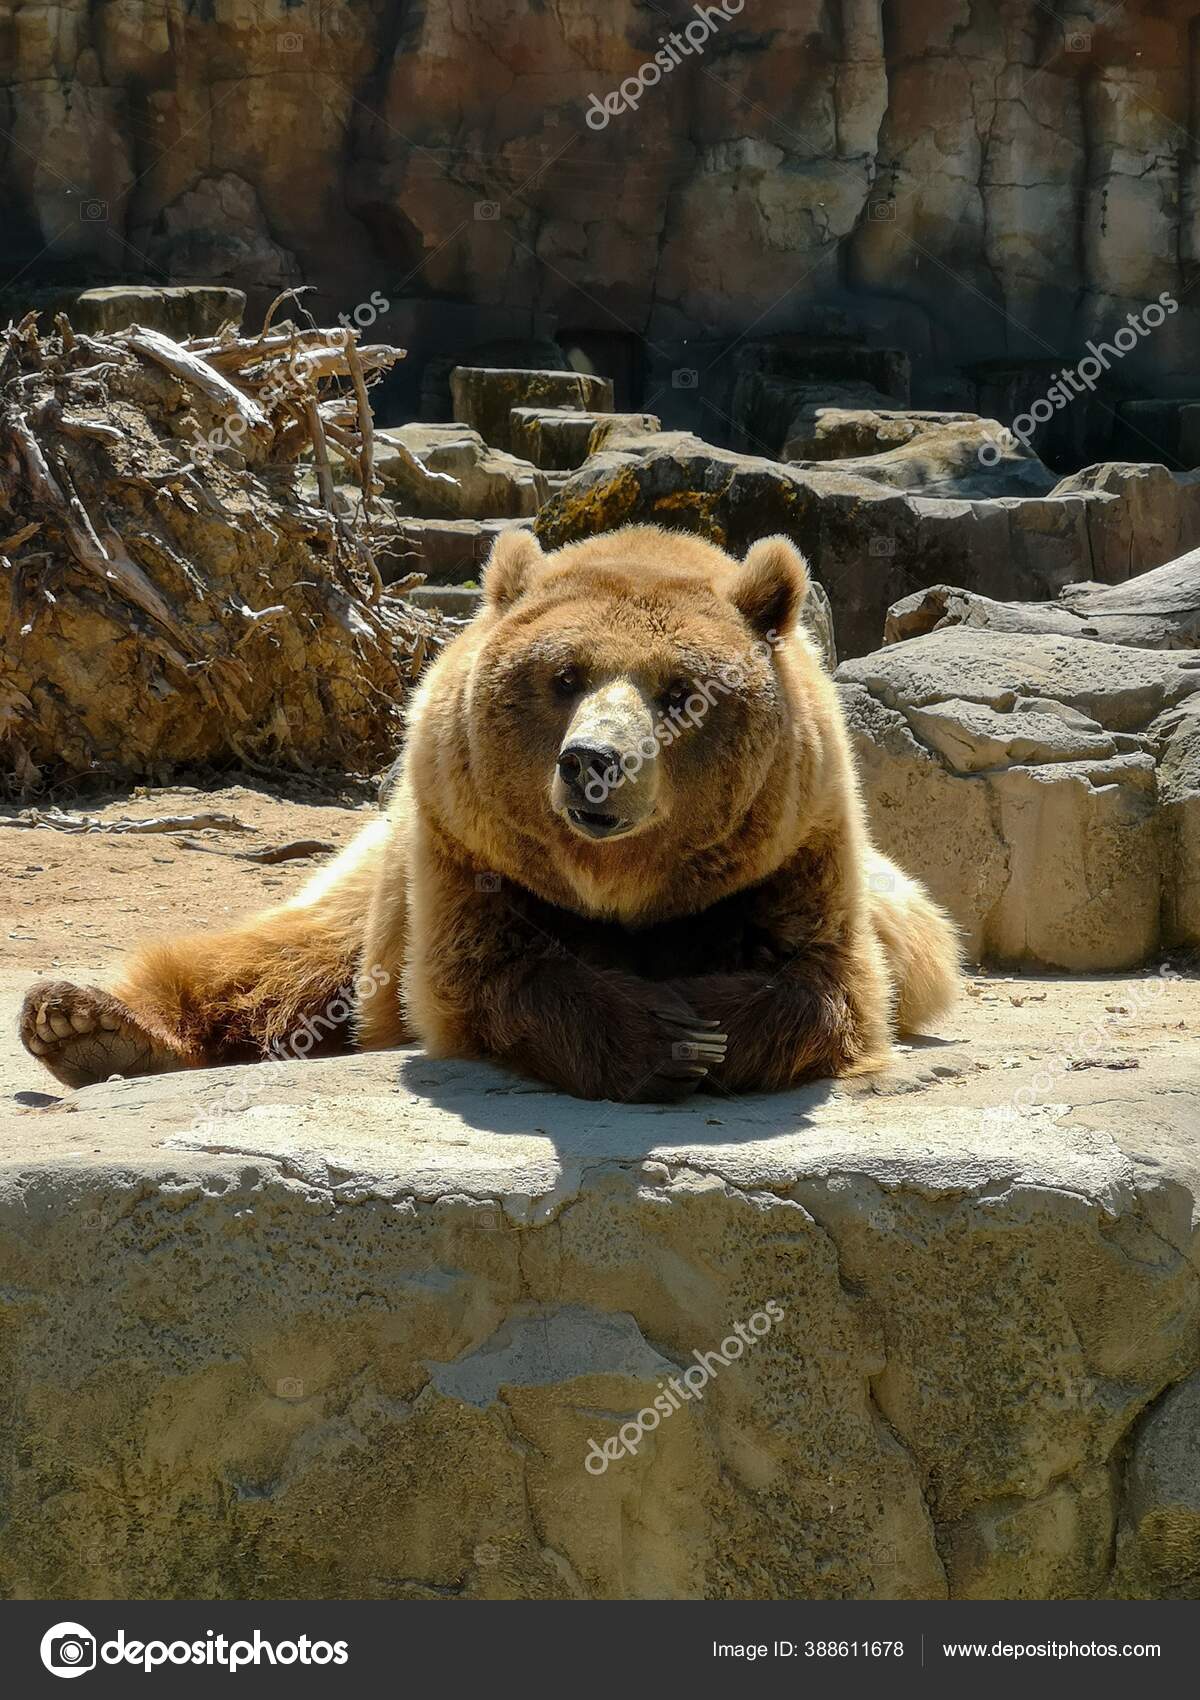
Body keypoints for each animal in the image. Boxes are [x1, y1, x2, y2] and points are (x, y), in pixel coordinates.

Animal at [19, 525, 960, 1101]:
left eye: (678, 690)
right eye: (566, 676)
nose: (594, 762)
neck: (622, 884)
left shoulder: (795, 839)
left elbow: (825, 978)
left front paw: (705, 1026)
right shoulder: (465, 840)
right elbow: (481, 974)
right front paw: (662, 1039)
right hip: (375, 881)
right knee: (282, 959)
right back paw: (82, 1021)